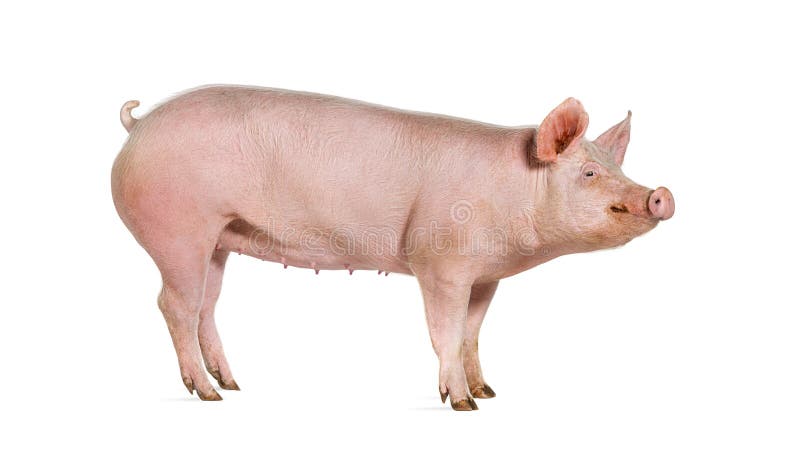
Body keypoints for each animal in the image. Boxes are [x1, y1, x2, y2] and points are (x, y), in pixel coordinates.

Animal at [111, 86, 674, 411]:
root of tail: (138, 126)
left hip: (218, 240)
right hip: (178, 229)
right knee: (174, 304)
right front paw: (463, 405)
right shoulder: (439, 262)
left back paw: (232, 385)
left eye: (618, 168)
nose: (659, 193)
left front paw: (489, 393)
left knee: (206, 306)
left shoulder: (485, 276)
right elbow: (445, 334)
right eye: (589, 173)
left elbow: (471, 334)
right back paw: (206, 395)